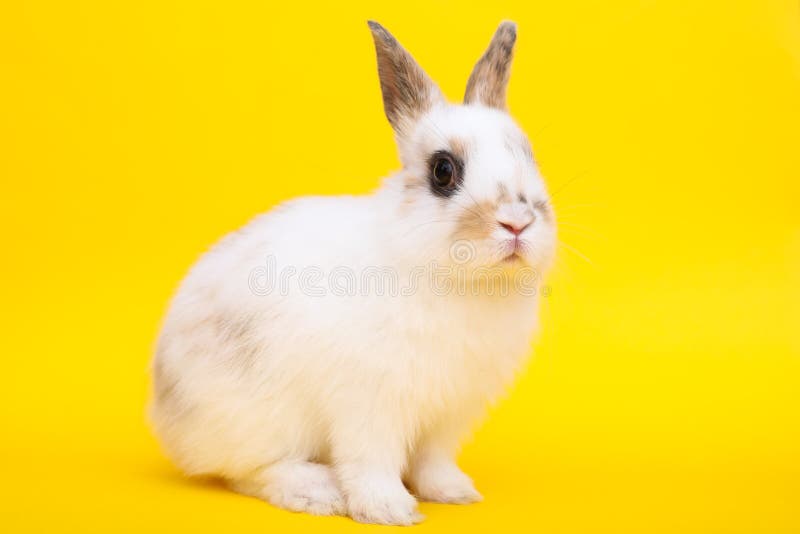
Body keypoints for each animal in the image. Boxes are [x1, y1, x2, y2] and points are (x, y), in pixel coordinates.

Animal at [150, 20, 556, 525]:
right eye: (443, 171)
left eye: (529, 156)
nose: (518, 223)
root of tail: (165, 412)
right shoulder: (371, 406)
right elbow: (371, 461)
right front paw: (389, 510)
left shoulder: (448, 414)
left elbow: (432, 460)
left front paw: (454, 492)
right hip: (263, 419)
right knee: (247, 471)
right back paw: (316, 492)